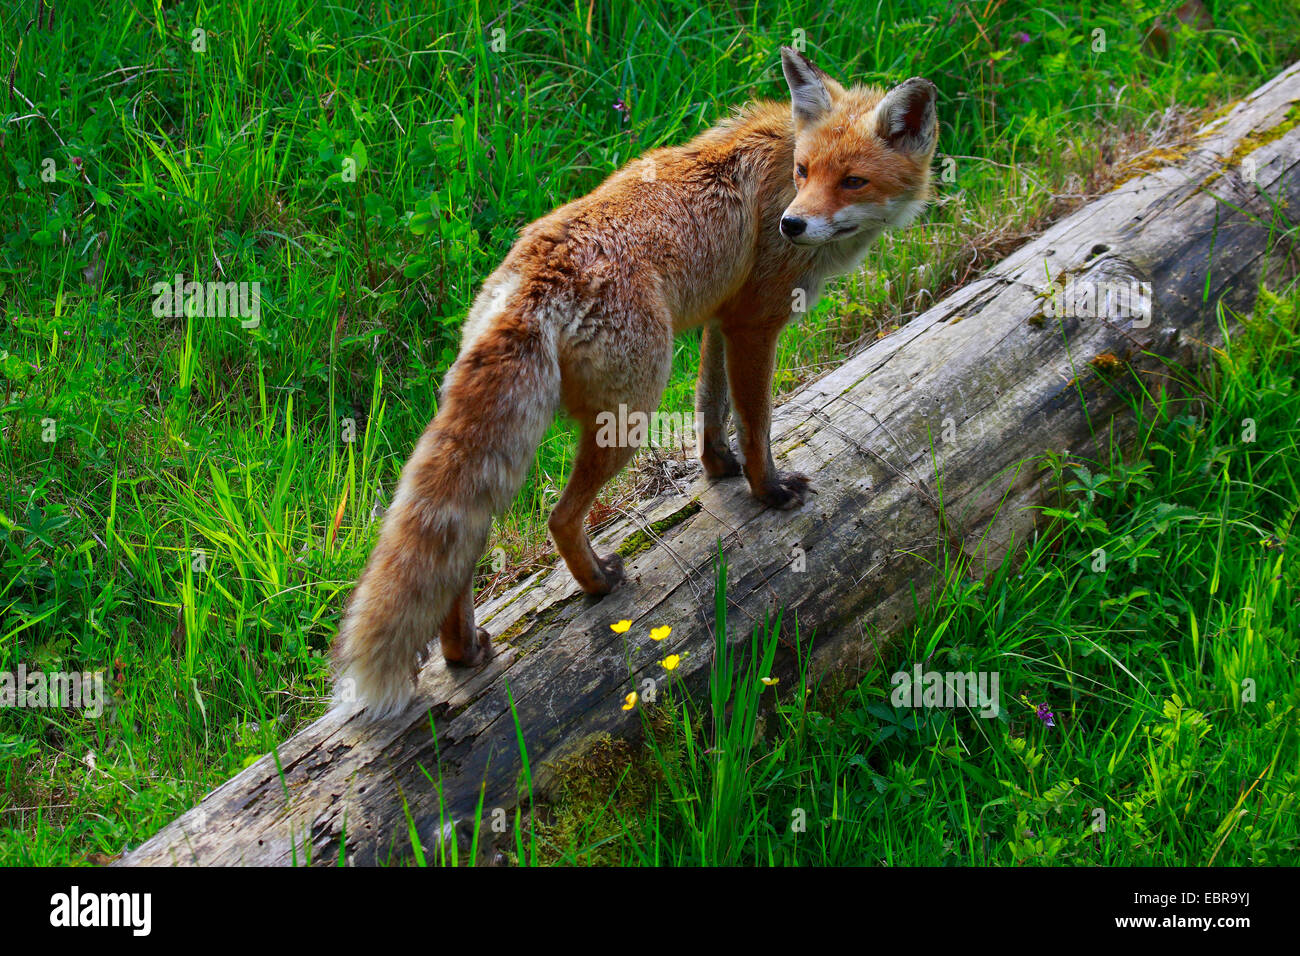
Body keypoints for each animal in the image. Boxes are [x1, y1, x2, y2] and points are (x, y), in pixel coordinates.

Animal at [333, 48, 939, 716]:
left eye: (851, 181)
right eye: (804, 173)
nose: (792, 225)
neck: (780, 161)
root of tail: (535, 273)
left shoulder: (722, 320)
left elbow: (710, 408)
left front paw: (718, 468)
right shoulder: (756, 323)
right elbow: (755, 426)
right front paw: (767, 491)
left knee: (460, 555)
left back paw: (463, 650)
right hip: (630, 415)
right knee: (558, 519)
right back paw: (597, 583)